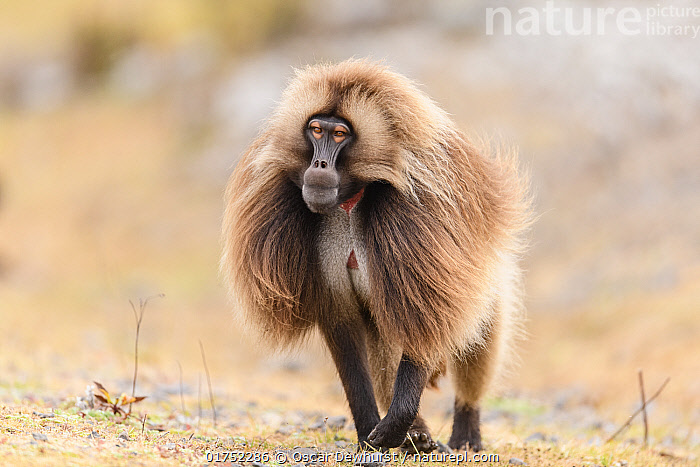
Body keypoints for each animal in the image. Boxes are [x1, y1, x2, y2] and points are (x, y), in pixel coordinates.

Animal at [221, 59, 530, 453]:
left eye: (339, 135)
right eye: (315, 130)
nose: (319, 166)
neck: (350, 202)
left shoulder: (417, 214)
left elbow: (426, 314)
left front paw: (397, 423)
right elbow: (344, 329)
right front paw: (371, 428)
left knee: (480, 327)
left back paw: (464, 429)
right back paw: (418, 434)